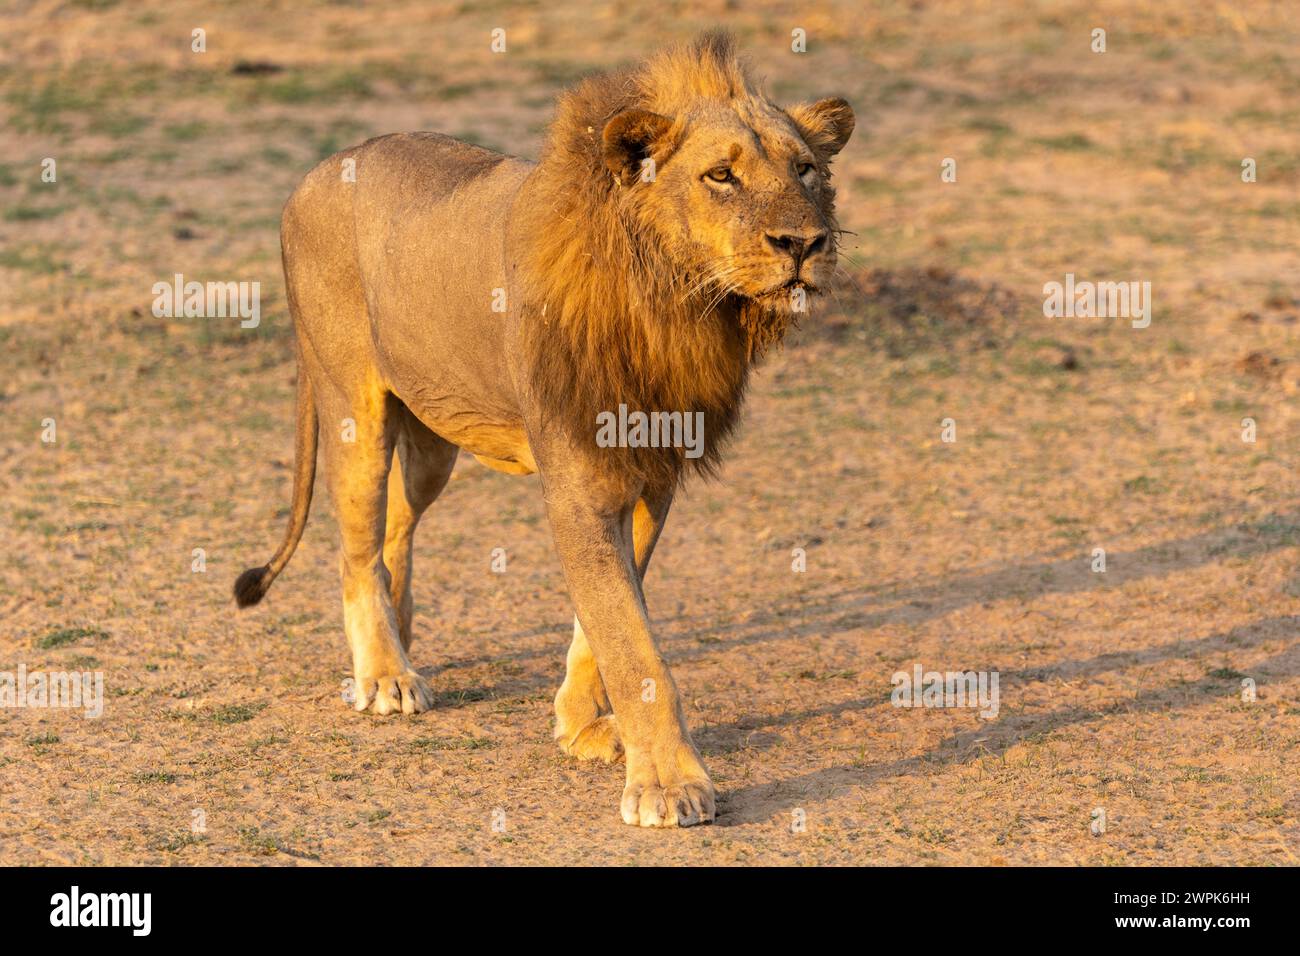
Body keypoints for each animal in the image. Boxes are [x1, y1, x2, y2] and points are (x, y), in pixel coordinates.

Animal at [233, 30, 853, 827]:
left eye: (805, 168)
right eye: (721, 175)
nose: (805, 243)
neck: (677, 306)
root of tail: (310, 174)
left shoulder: (652, 473)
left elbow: (608, 620)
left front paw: (583, 726)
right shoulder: (579, 480)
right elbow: (631, 640)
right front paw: (667, 784)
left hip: (433, 440)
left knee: (396, 522)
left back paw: (402, 635)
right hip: (353, 406)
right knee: (354, 544)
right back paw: (385, 674)